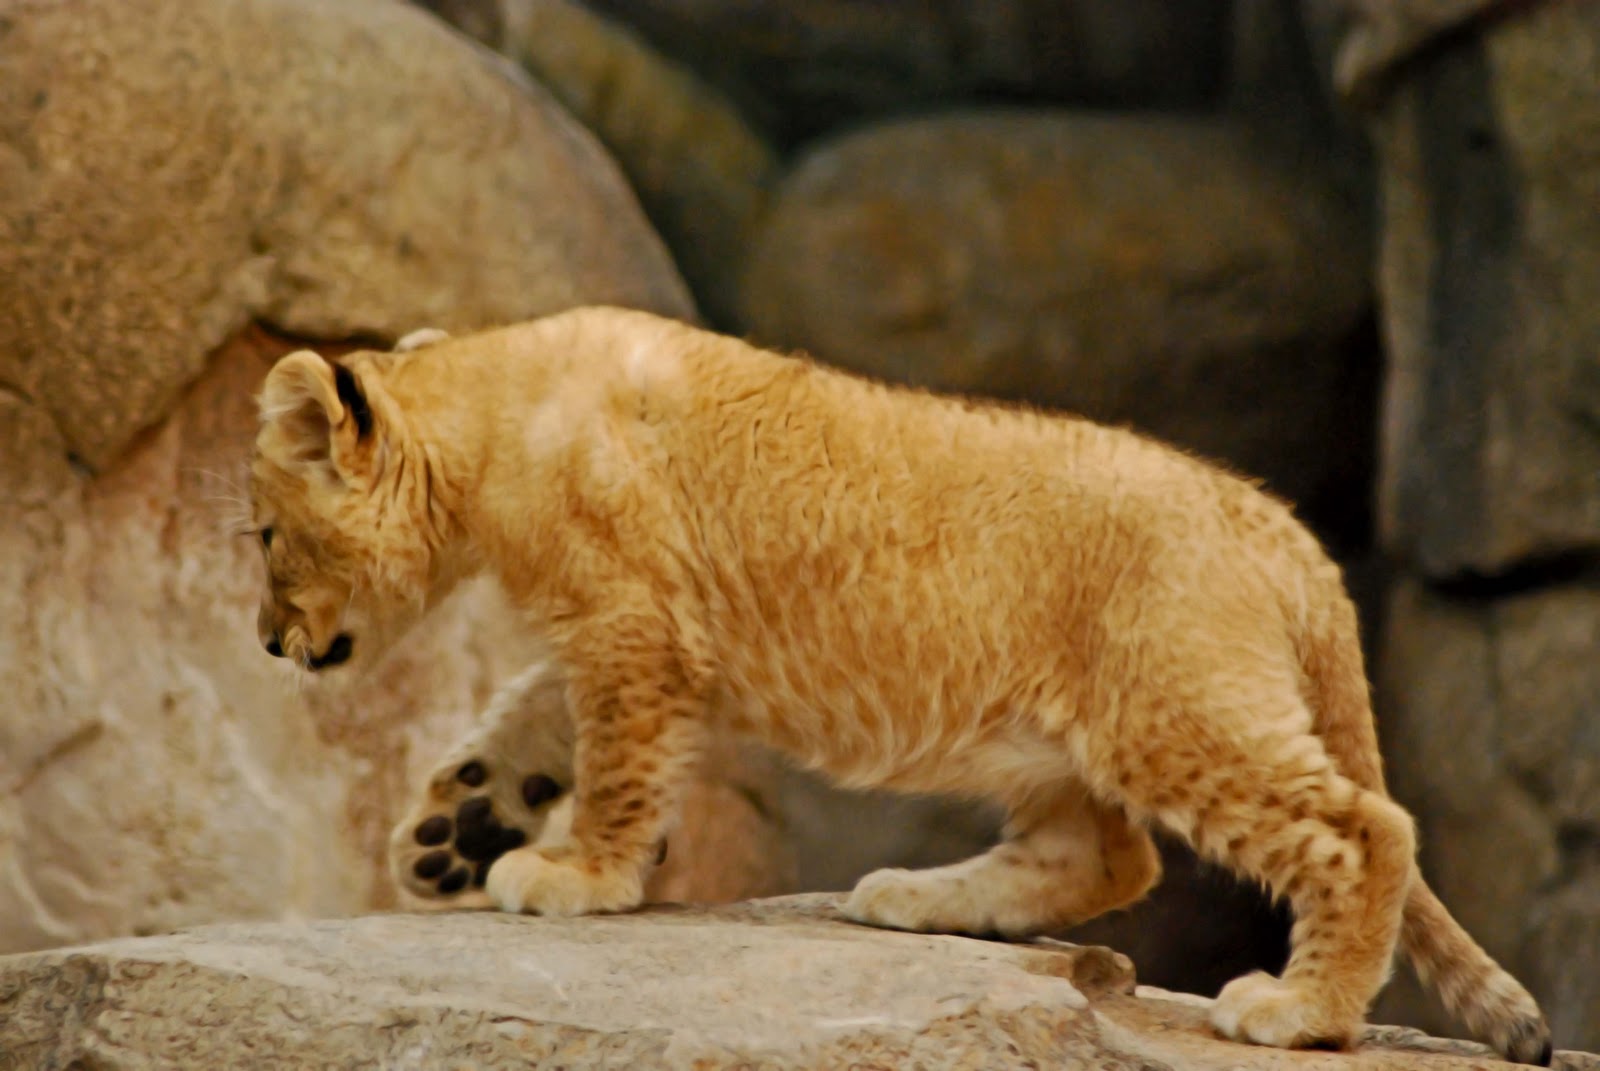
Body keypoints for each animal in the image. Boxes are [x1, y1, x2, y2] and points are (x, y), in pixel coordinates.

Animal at [248, 307, 1549, 1062]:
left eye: (260, 535)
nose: (263, 643)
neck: (489, 413)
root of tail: (1283, 529)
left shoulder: (633, 622)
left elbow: (612, 752)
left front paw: (575, 875)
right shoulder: (630, 628)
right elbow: (537, 709)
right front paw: (461, 828)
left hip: (1171, 706)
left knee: (1365, 828)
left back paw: (1298, 1012)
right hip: (1062, 731)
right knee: (1106, 856)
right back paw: (919, 900)